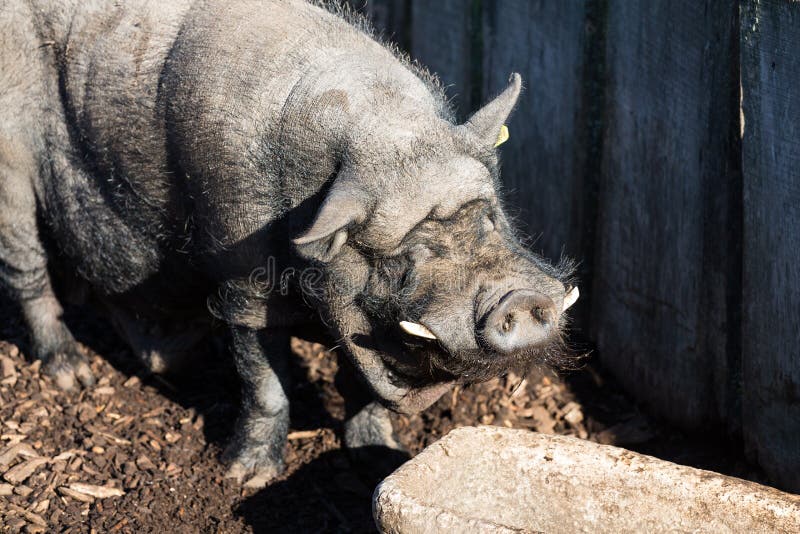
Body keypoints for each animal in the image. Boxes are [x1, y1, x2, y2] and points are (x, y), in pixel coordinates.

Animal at [0, 0, 577, 486]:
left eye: (489, 216)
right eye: (399, 255)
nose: (522, 299)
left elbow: (365, 387)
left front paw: (380, 457)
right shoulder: (241, 275)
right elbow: (265, 383)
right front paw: (246, 478)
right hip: (11, 167)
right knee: (27, 272)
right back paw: (73, 376)